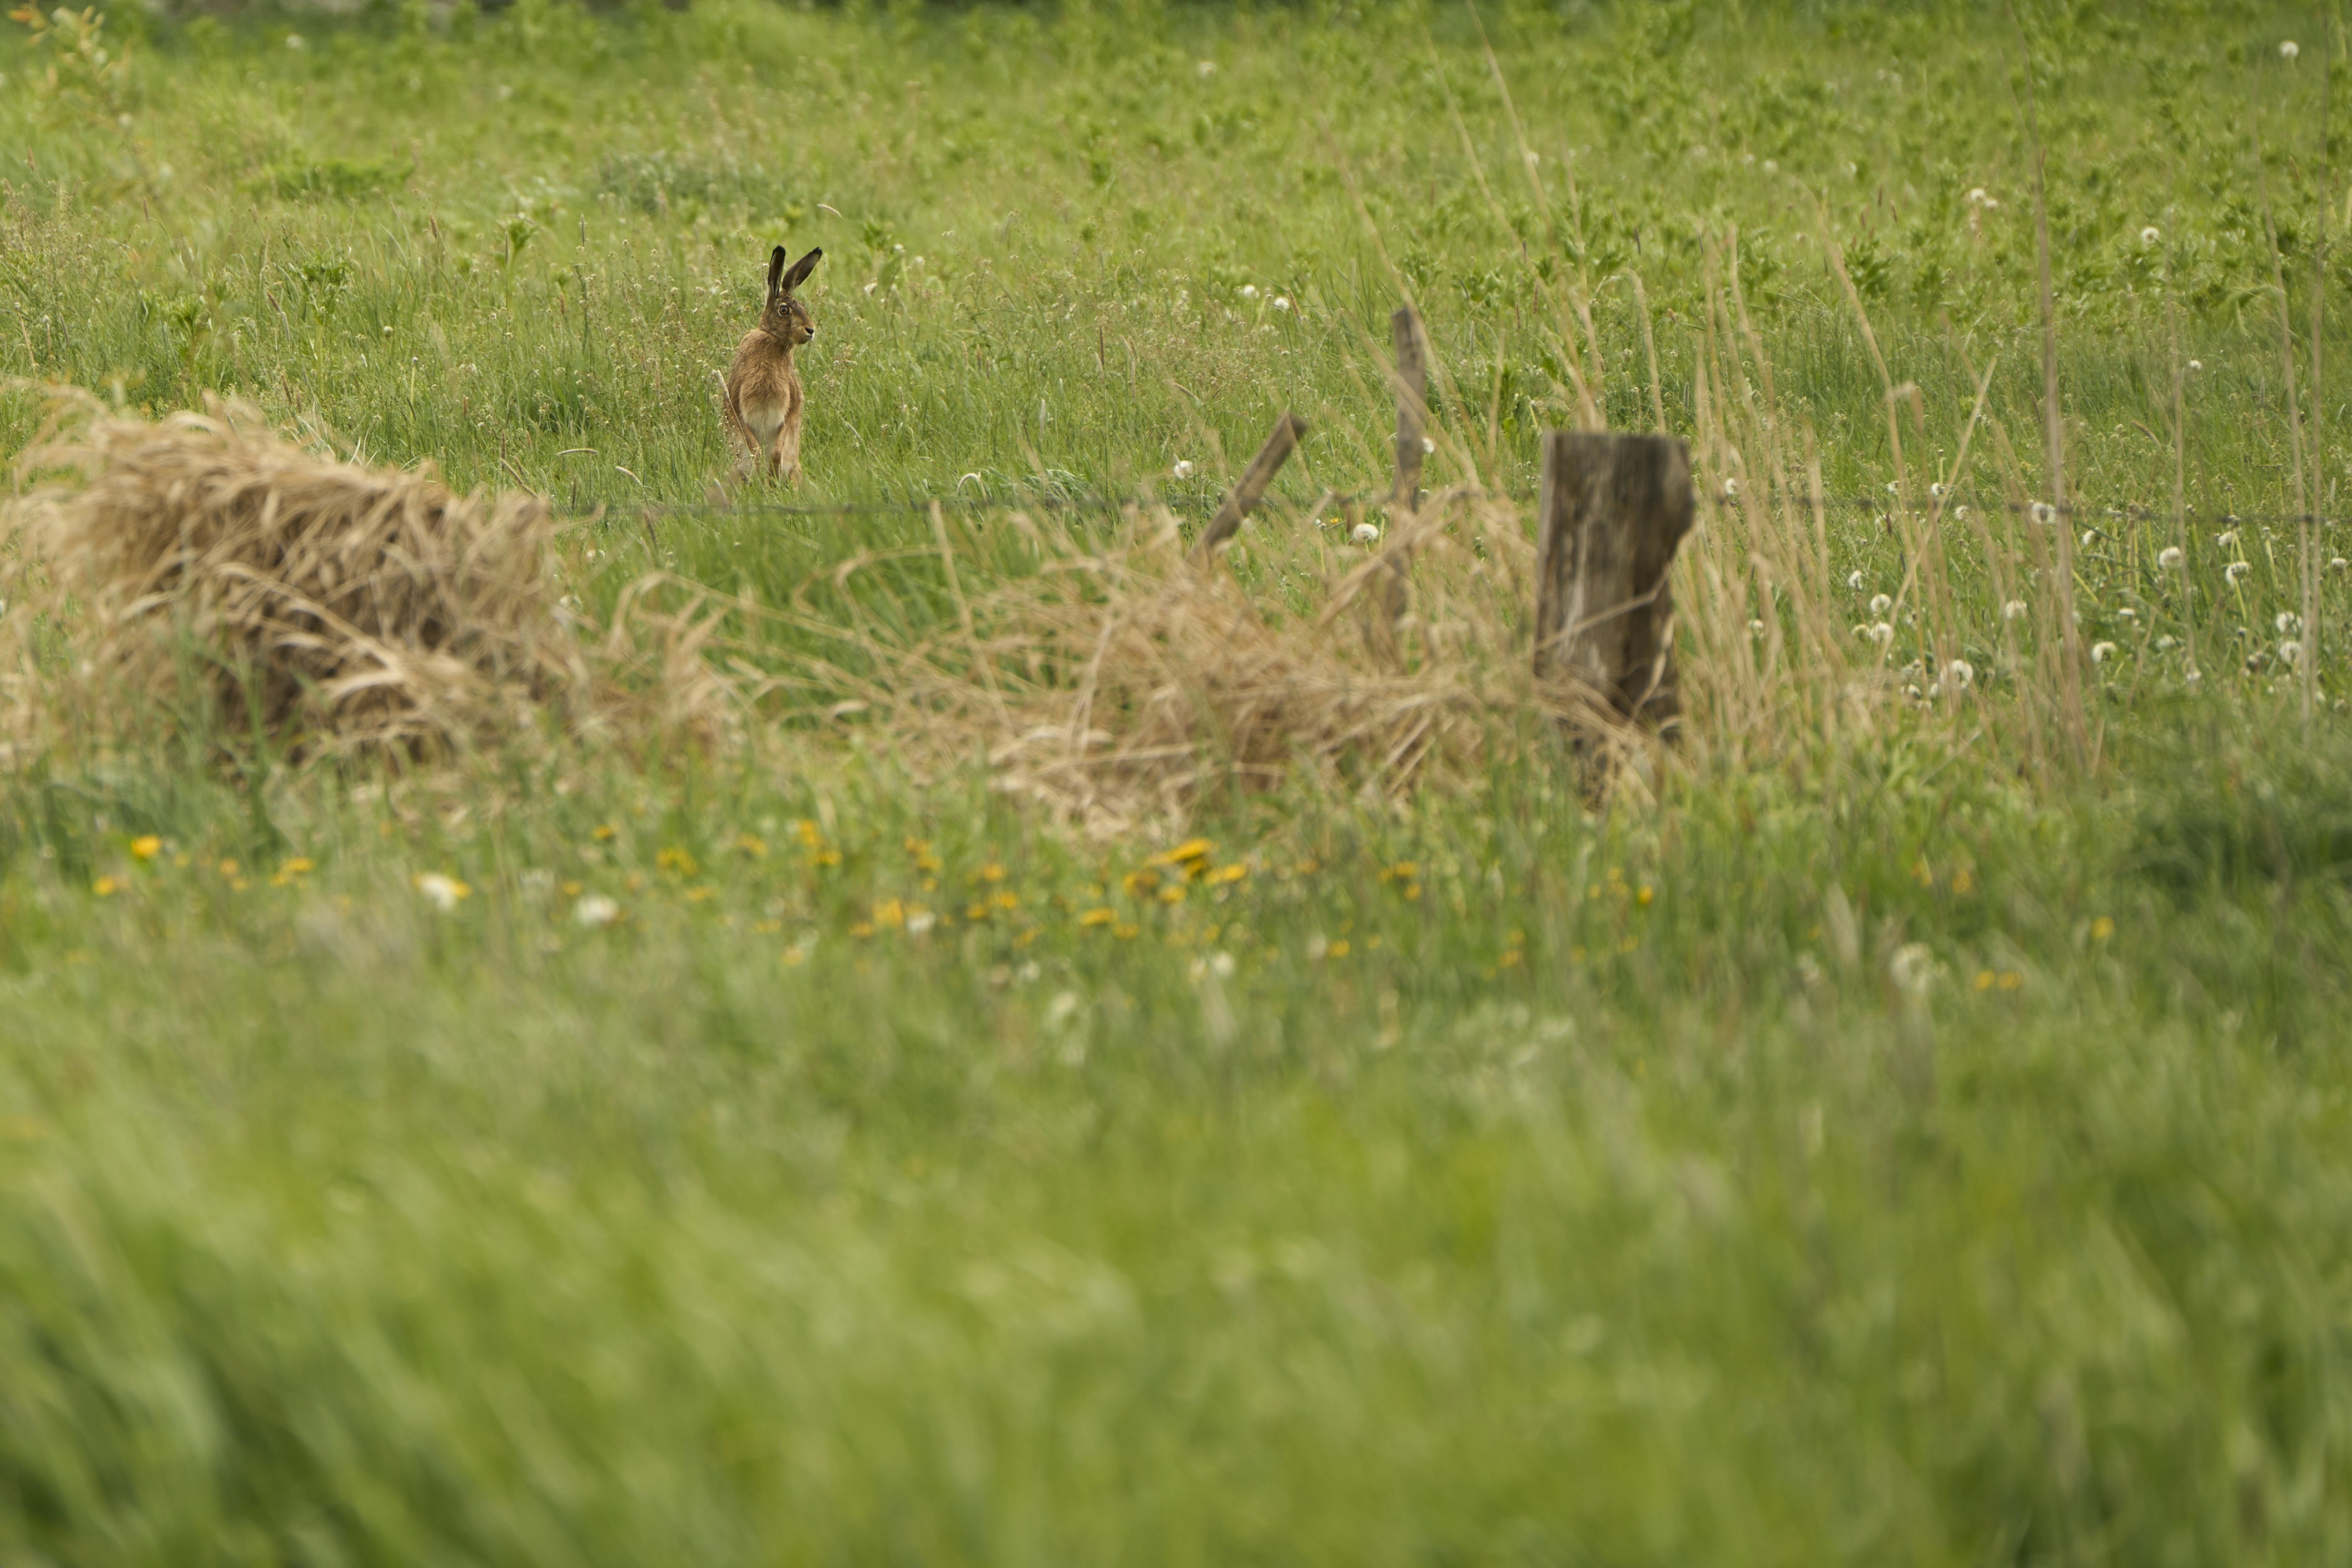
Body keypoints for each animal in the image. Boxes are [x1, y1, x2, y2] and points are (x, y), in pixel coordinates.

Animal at [723, 244, 822, 483]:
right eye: (784, 310)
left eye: (803, 307)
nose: (811, 330)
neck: (772, 337)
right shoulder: (736, 400)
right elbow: (753, 446)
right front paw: (760, 466)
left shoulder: (791, 403)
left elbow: (780, 444)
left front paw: (772, 469)